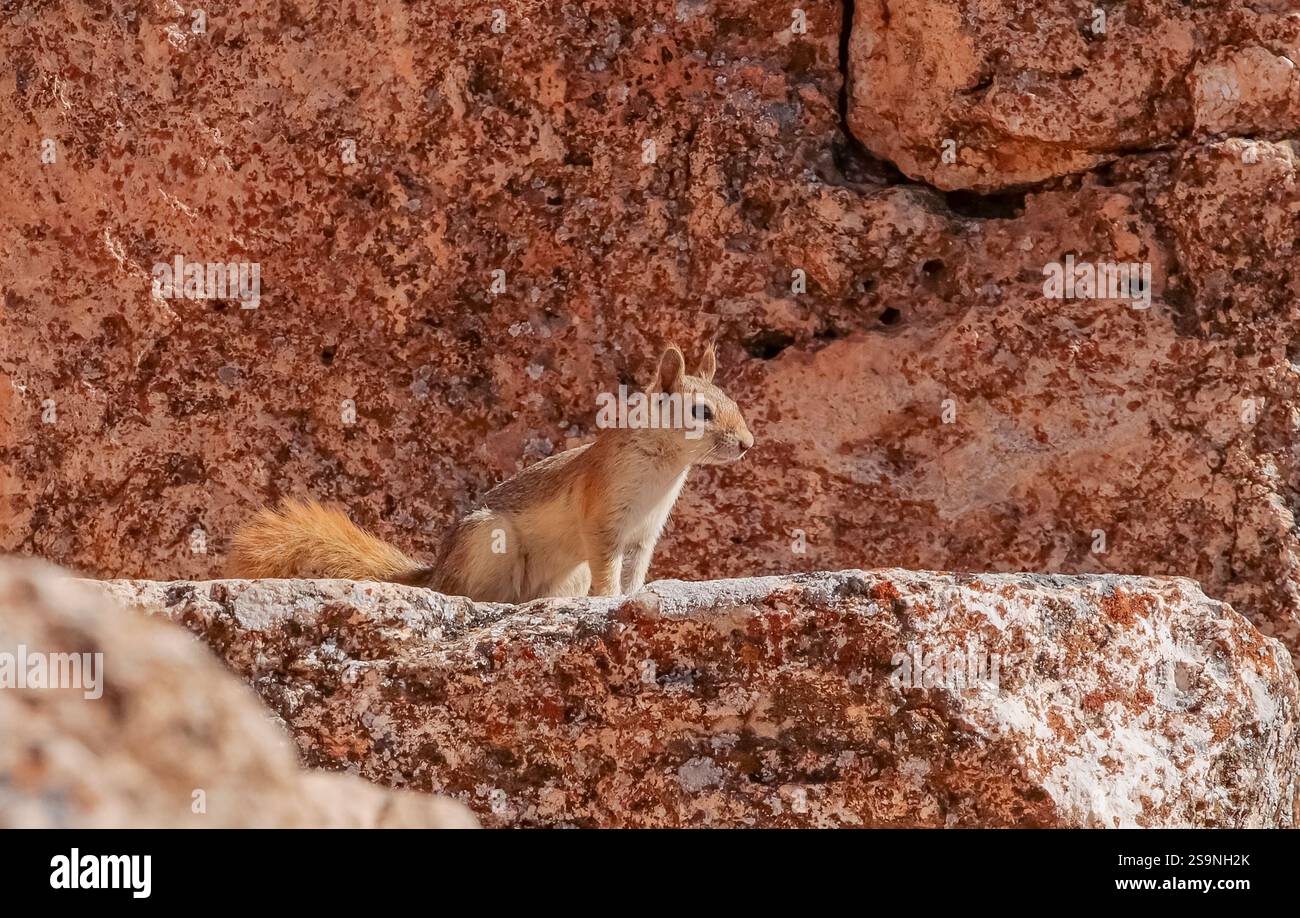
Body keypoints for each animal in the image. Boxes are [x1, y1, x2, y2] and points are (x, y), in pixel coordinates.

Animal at [228, 343, 753, 603]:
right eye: (702, 411)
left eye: (734, 399)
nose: (748, 444)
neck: (664, 468)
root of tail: (434, 575)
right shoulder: (603, 517)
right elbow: (607, 566)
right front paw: (607, 599)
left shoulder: (645, 532)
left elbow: (636, 570)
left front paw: (637, 593)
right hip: (490, 540)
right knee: (472, 593)